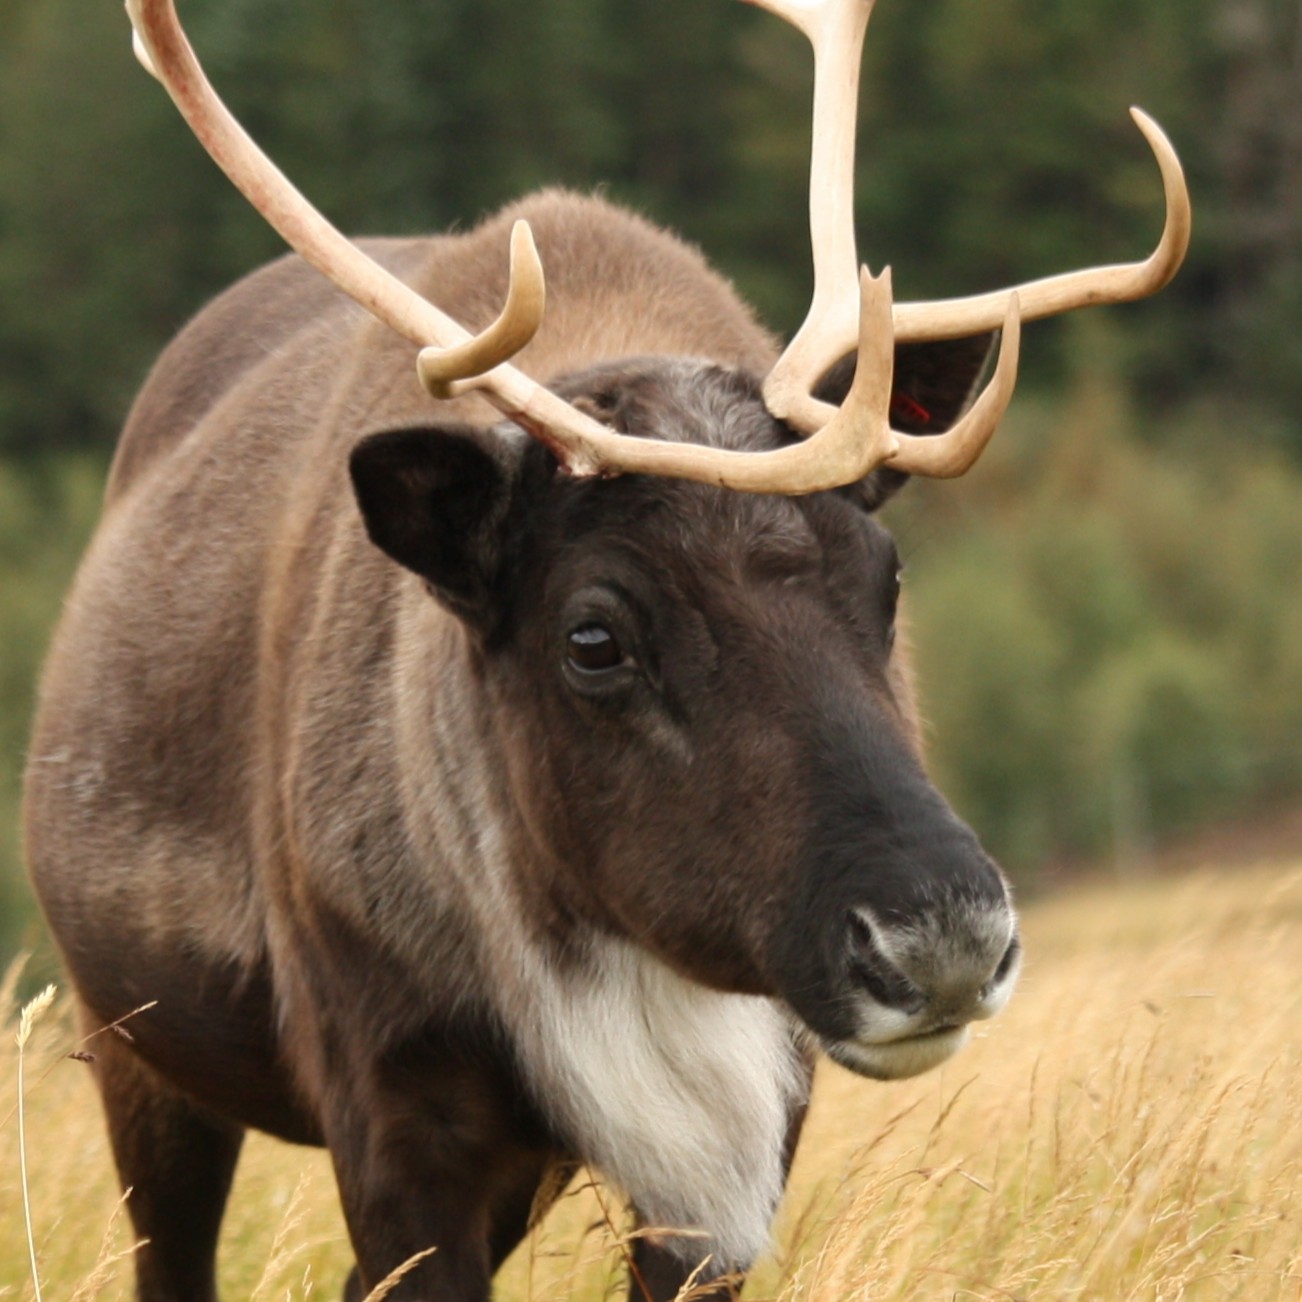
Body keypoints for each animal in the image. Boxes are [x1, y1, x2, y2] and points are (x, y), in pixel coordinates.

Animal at [23, 0, 1190, 1298]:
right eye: (594, 638)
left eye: (886, 577)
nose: (941, 940)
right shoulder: (393, 1105)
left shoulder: (745, 1139)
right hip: (127, 1040)